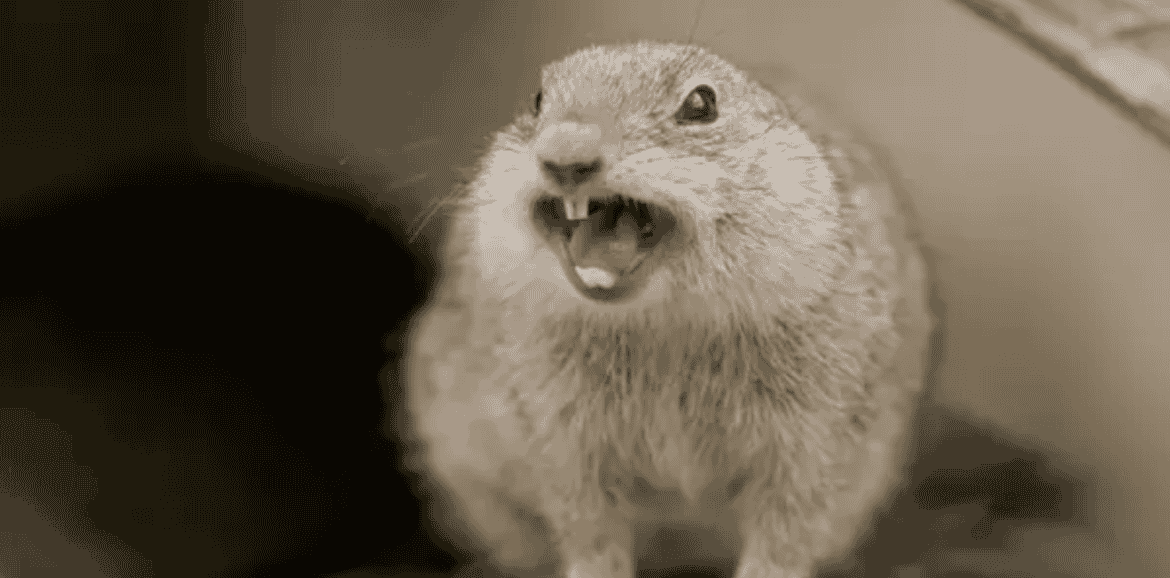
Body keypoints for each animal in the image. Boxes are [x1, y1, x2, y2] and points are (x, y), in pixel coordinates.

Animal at [403, 41, 934, 578]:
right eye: (536, 100)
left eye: (701, 103)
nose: (565, 155)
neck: (661, 325)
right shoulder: (560, 435)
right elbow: (590, 530)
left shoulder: (815, 440)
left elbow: (786, 535)